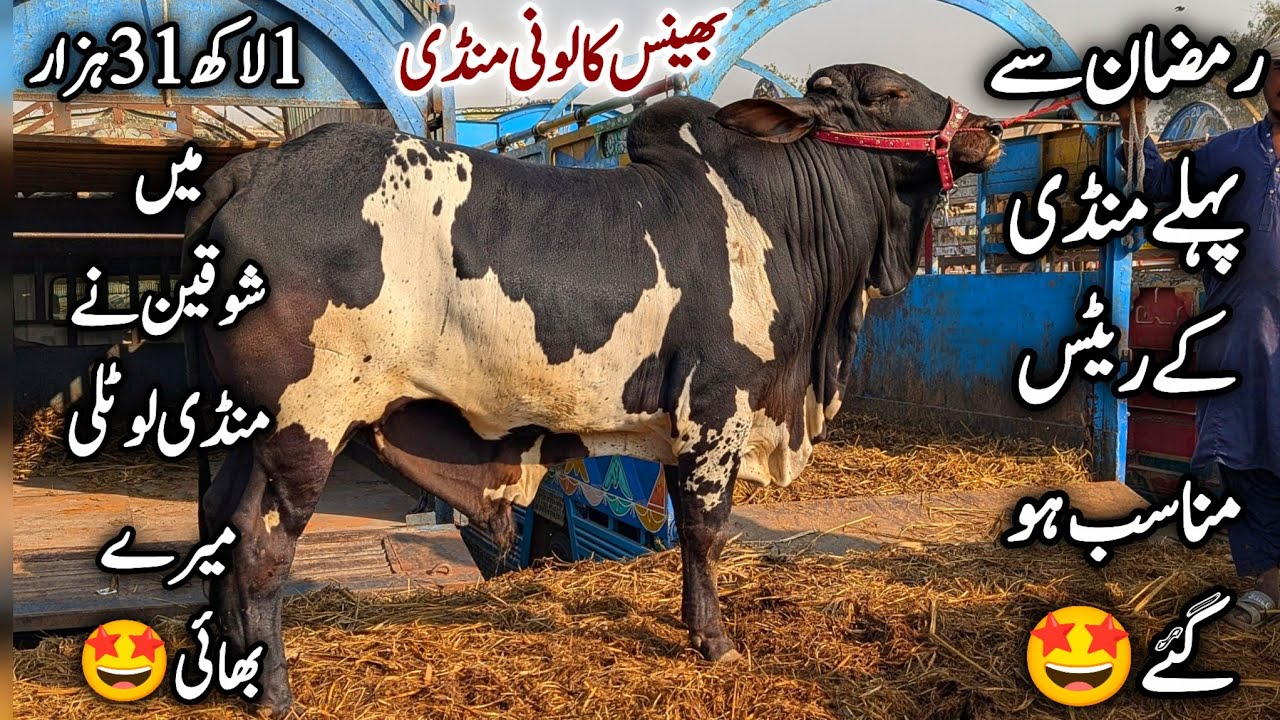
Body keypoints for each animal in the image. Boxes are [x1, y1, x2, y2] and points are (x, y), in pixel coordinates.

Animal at [183, 63, 1003, 714]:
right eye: (891, 93)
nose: (989, 127)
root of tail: (255, 170)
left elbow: (688, 535)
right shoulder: (716, 411)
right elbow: (706, 531)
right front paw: (716, 643)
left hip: (249, 432)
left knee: (221, 520)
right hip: (304, 426)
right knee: (262, 548)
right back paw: (274, 692)